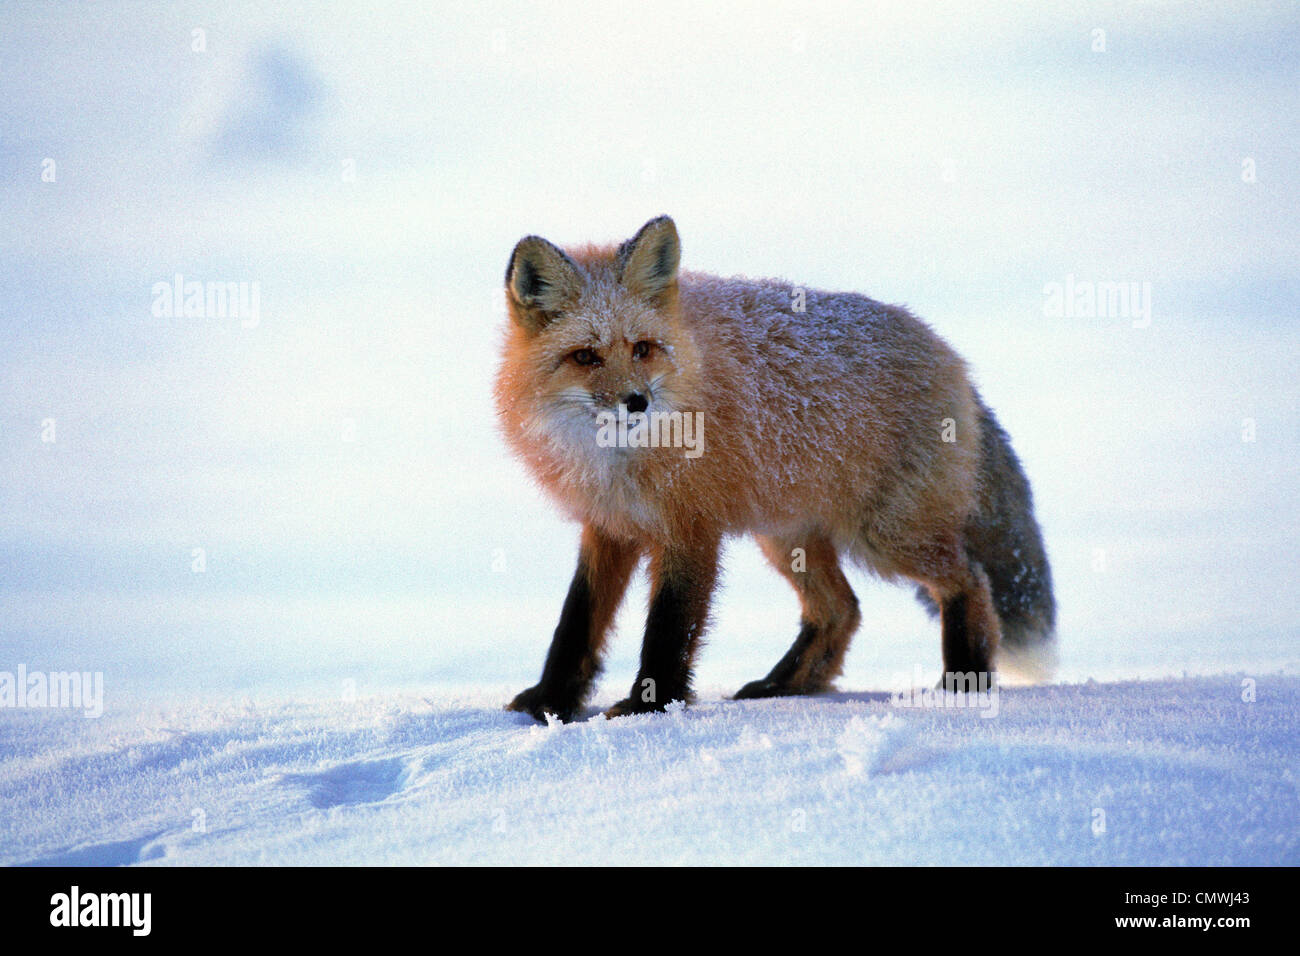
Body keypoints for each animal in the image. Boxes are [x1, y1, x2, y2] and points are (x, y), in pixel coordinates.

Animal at [496, 215, 1055, 722]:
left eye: (643, 349)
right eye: (585, 356)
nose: (637, 402)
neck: (618, 461)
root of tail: (949, 353)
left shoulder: (690, 527)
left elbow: (670, 628)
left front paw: (648, 707)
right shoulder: (608, 525)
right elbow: (577, 622)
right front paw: (549, 702)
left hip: (886, 535)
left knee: (969, 579)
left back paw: (965, 683)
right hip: (789, 536)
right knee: (840, 610)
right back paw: (783, 686)